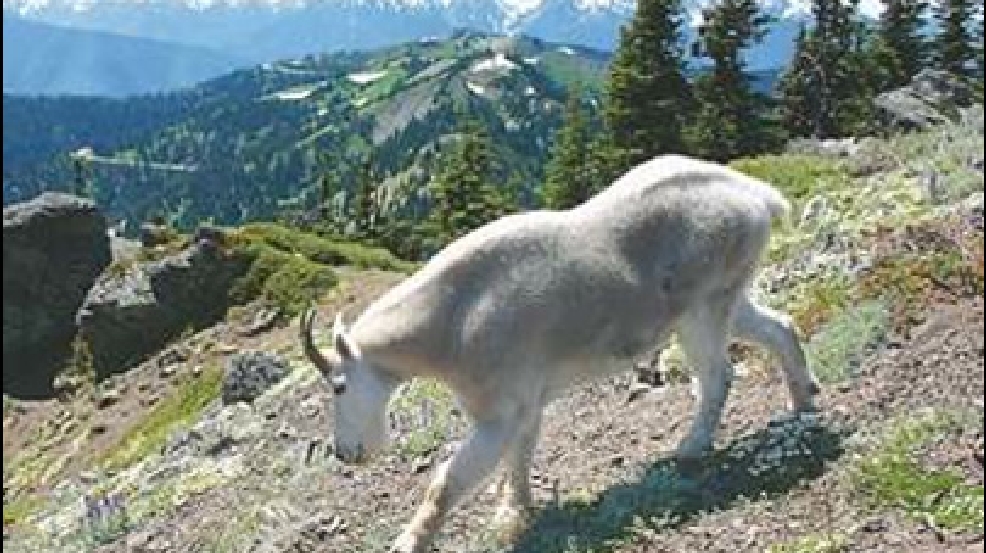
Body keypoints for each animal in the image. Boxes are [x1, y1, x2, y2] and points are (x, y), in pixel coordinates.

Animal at [300, 154, 820, 553]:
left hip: (701, 308)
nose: (345, 453)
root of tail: (758, 197)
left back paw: (691, 448)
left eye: (339, 385)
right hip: (731, 295)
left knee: (716, 374)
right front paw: (514, 512)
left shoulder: (498, 412)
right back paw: (803, 401)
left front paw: (408, 541)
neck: (451, 320)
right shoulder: (527, 402)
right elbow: (520, 455)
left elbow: (445, 484)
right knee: (779, 327)